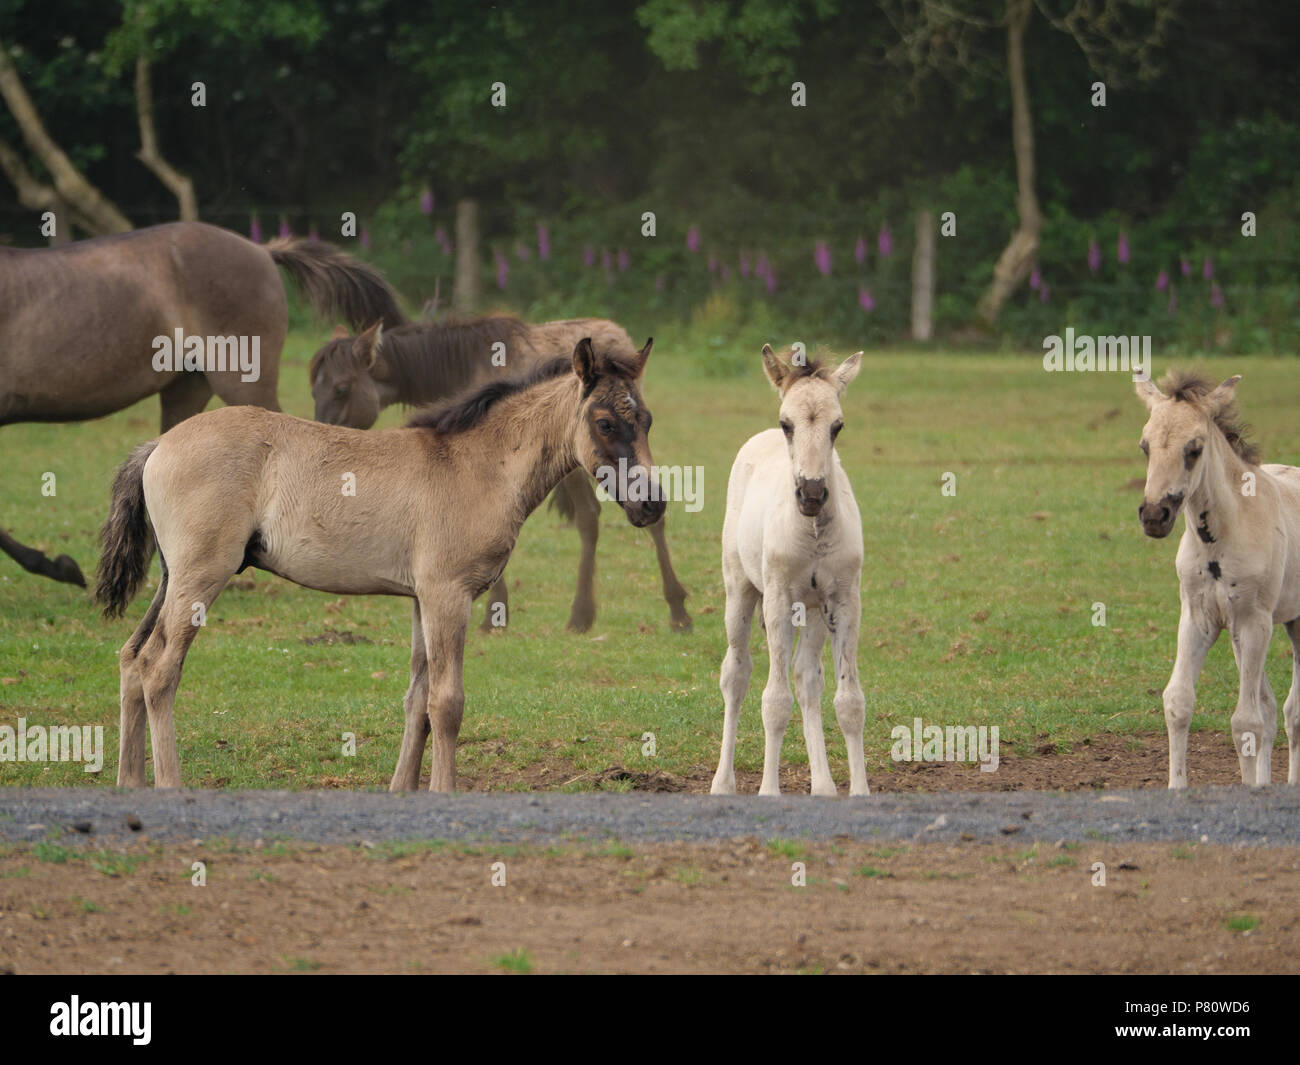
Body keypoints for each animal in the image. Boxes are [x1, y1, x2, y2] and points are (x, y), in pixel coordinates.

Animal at [95, 337, 663, 792]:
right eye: (605, 422)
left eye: (648, 420)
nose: (653, 504)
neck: (477, 466)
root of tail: (158, 444)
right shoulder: (447, 595)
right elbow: (447, 703)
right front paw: (443, 791)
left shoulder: (421, 600)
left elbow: (417, 701)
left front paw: (402, 790)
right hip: (200, 578)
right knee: (159, 669)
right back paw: (169, 784)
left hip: (171, 579)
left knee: (130, 658)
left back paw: (129, 783)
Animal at [307, 314, 691, 634]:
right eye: (314, 388)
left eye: (341, 388)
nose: (322, 432)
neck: (462, 366)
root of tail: (617, 332)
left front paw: (495, 613)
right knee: (590, 517)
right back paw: (585, 615)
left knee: (637, 522)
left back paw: (675, 610)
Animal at [710, 344, 868, 797]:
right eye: (787, 424)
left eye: (837, 426)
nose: (811, 493)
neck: (812, 530)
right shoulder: (778, 599)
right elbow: (774, 701)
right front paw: (769, 791)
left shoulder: (844, 600)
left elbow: (849, 701)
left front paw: (859, 792)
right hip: (741, 590)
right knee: (736, 674)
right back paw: (722, 783)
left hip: (813, 609)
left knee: (806, 677)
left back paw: (824, 786)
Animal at [1135, 369, 1300, 787]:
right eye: (1145, 447)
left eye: (1194, 449)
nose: (1154, 516)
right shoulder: (1200, 618)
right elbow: (1178, 701)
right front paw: (1177, 788)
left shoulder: (1255, 622)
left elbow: (1246, 721)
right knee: (1273, 709)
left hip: (1293, 624)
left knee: (1292, 712)